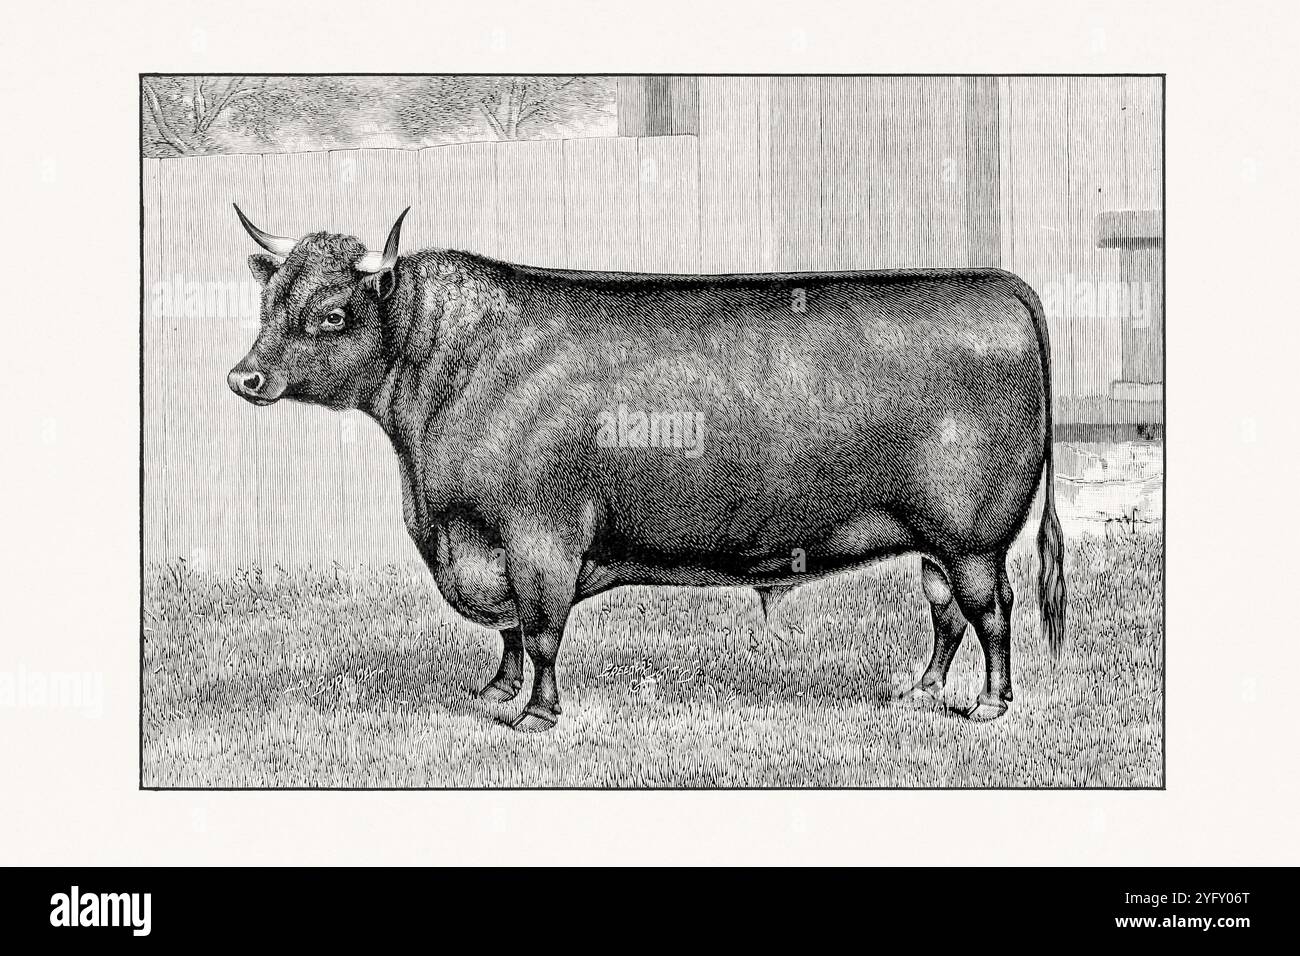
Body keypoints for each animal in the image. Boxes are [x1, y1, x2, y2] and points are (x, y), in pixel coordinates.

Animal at [228, 204, 1066, 732]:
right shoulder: (486, 540)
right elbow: (508, 631)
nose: (244, 377)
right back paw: (921, 689)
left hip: (973, 535)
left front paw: (535, 714)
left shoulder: (539, 535)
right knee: (944, 610)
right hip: (933, 539)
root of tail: (994, 283)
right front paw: (495, 692)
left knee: (991, 610)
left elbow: (540, 628)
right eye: (270, 302)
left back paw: (990, 704)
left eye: (333, 315)